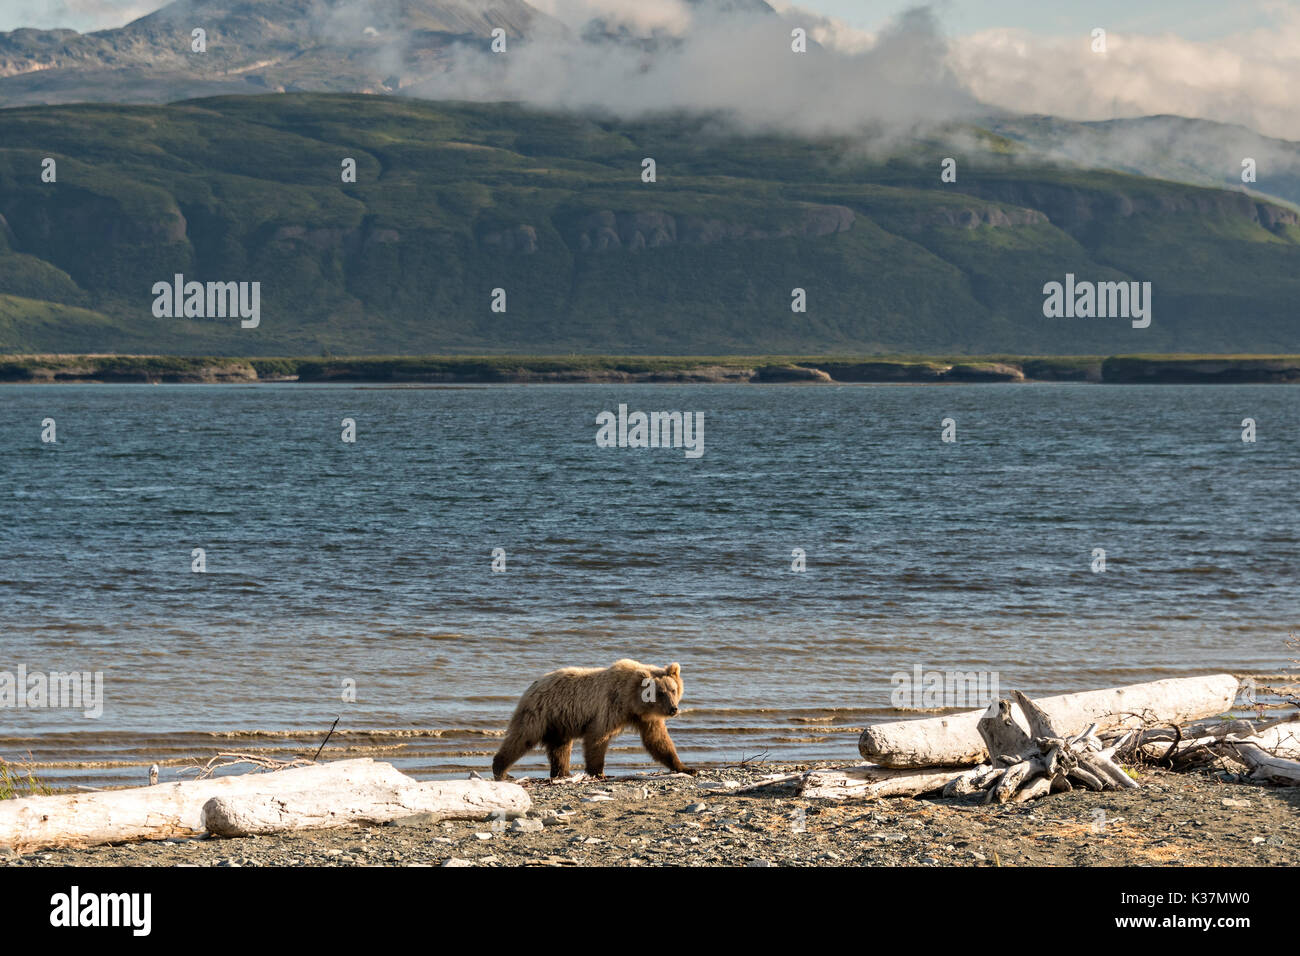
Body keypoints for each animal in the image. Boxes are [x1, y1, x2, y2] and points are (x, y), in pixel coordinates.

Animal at [492, 659, 694, 780]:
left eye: (673, 689)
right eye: (660, 693)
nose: (673, 709)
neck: (632, 702)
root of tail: (533, 685)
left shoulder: (647, 719)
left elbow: (658, 741)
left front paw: (685, 767)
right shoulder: (609, 707)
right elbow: (598, 737)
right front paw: (598, 772)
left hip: (560, 722)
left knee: (560, 747)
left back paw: (562, 772)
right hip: (541, 712)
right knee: (522, 737)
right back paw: (501, 769)